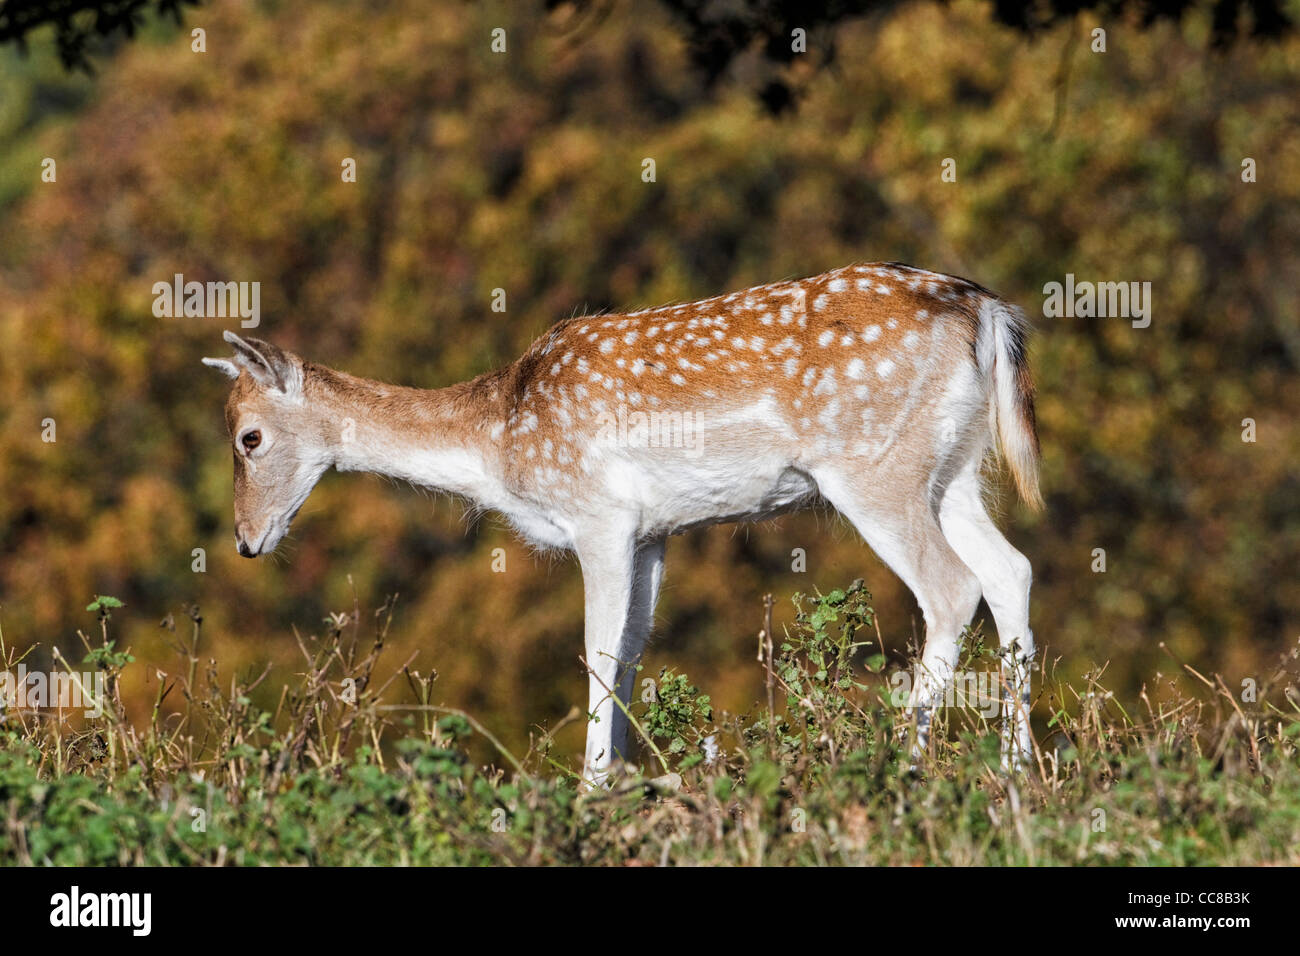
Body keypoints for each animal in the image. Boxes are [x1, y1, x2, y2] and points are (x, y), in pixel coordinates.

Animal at [203, 262, 1042, 786]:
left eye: (248, 437)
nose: (246, 541)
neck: (500, 439)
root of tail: (985, 310)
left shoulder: (597, 514)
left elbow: (597, 650)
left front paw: (591, 790)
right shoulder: (654, 531)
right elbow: (635, 648)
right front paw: (629, 779)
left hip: (874, 467)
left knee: (952, 586)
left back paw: (902, 765)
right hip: (954, 468)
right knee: (1011, 569)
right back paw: (1016, 771)